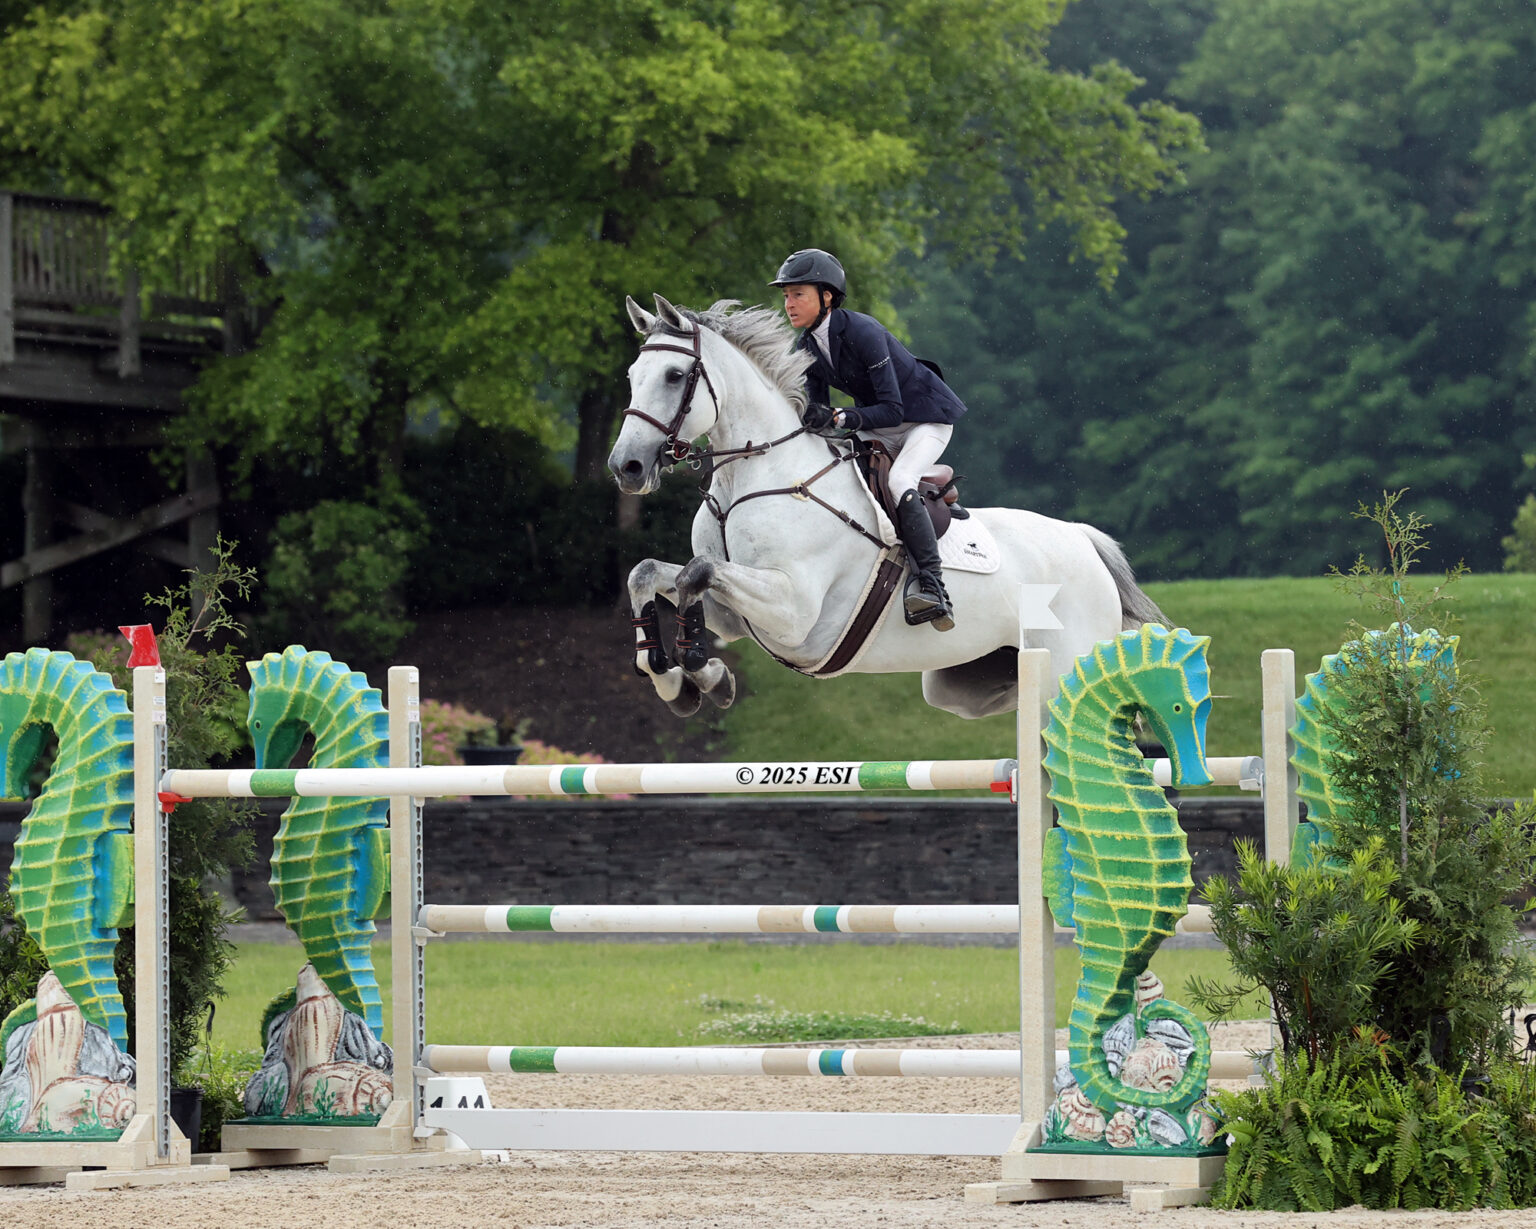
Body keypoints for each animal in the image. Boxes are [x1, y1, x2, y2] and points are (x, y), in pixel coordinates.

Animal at [607, 294, 1167, 719]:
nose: (625, 467)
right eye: (633, 375)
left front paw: (698, 672)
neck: (759, 474)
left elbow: (696, 573)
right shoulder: (735, 616)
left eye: (675, 375)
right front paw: (684, 677)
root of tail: (1083, 540)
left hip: (1066, 659)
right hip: (968, 682)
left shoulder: (793, 612)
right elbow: (653, 573)